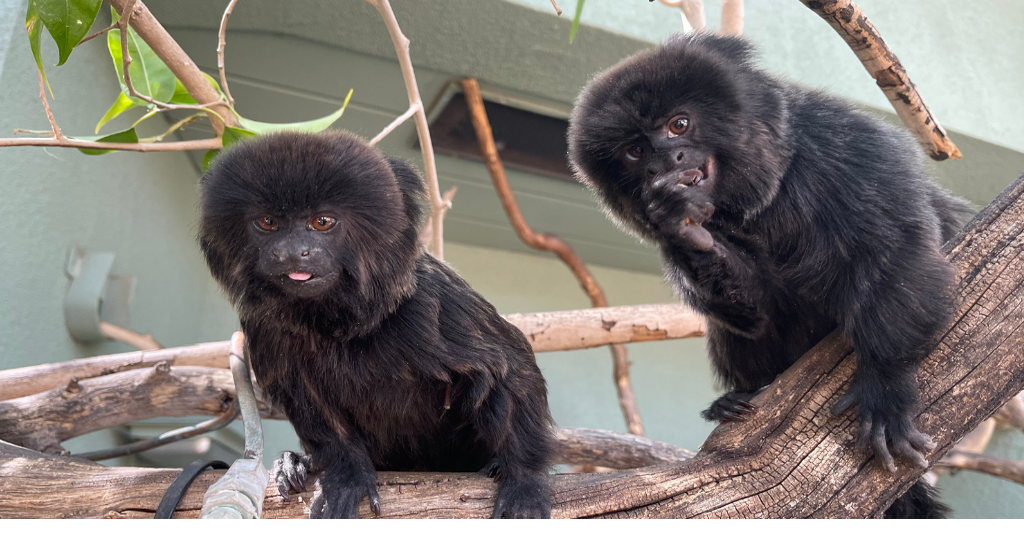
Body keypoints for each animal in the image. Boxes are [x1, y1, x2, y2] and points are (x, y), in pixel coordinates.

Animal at [198, 131, 554, 519]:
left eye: (322, 222)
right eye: (267, 223)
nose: (292, 252)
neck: (336, 319)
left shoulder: (431, 302)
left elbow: (508, 367)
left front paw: (525, 483)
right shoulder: (263, 325)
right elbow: (308, 400)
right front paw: (345, 475)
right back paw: (296, 463)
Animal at [567, 33, 972, 518]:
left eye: (679, 125)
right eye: (635, 151)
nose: (665, 161)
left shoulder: (850, 146)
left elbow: (894, 249)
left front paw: (885, 384)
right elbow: (760, 310)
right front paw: (687, 231)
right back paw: (739, 397)